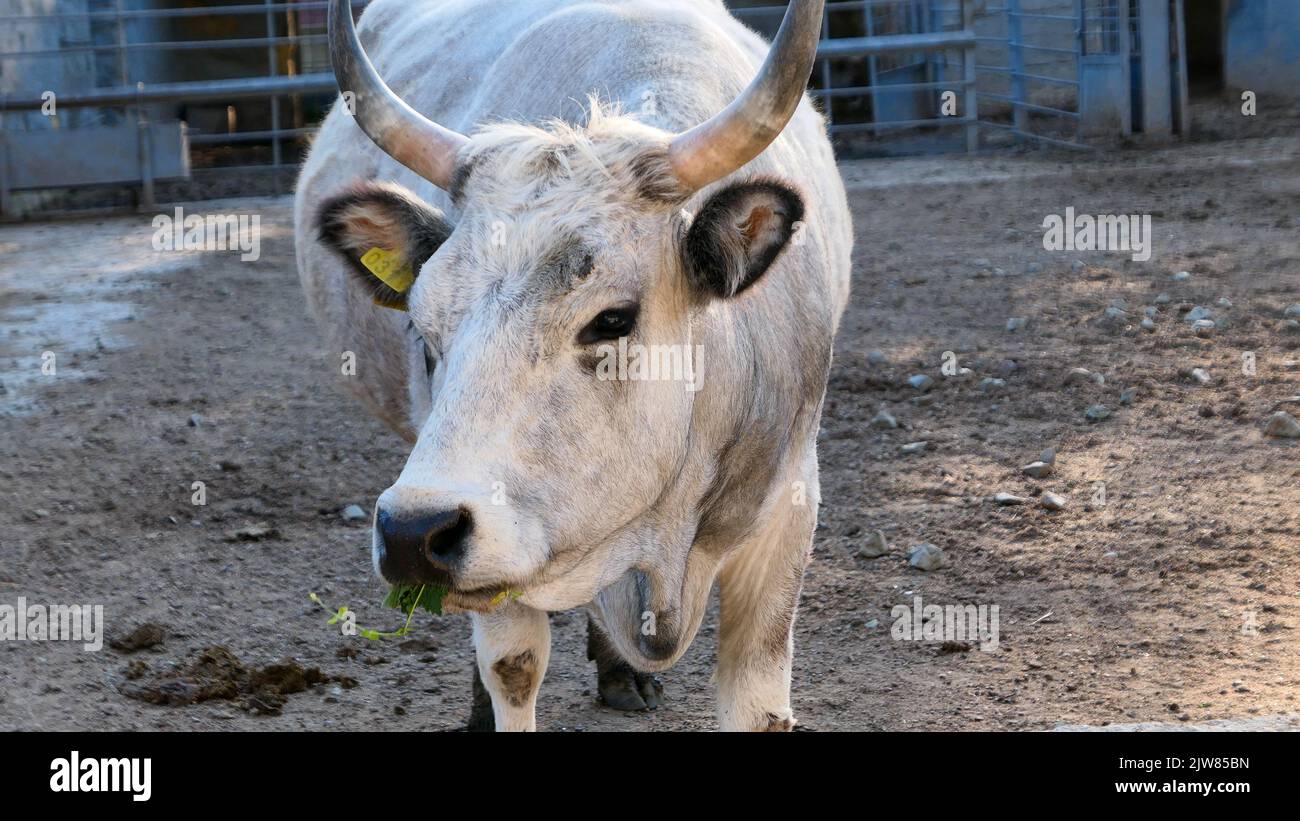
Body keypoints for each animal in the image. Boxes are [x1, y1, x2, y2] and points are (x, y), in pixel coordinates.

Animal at [294, 0, 851, 731]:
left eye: (612, 319)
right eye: (423, 329)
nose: (414, 532)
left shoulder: (787, 516)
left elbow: (757, 699)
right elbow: (514, 666)